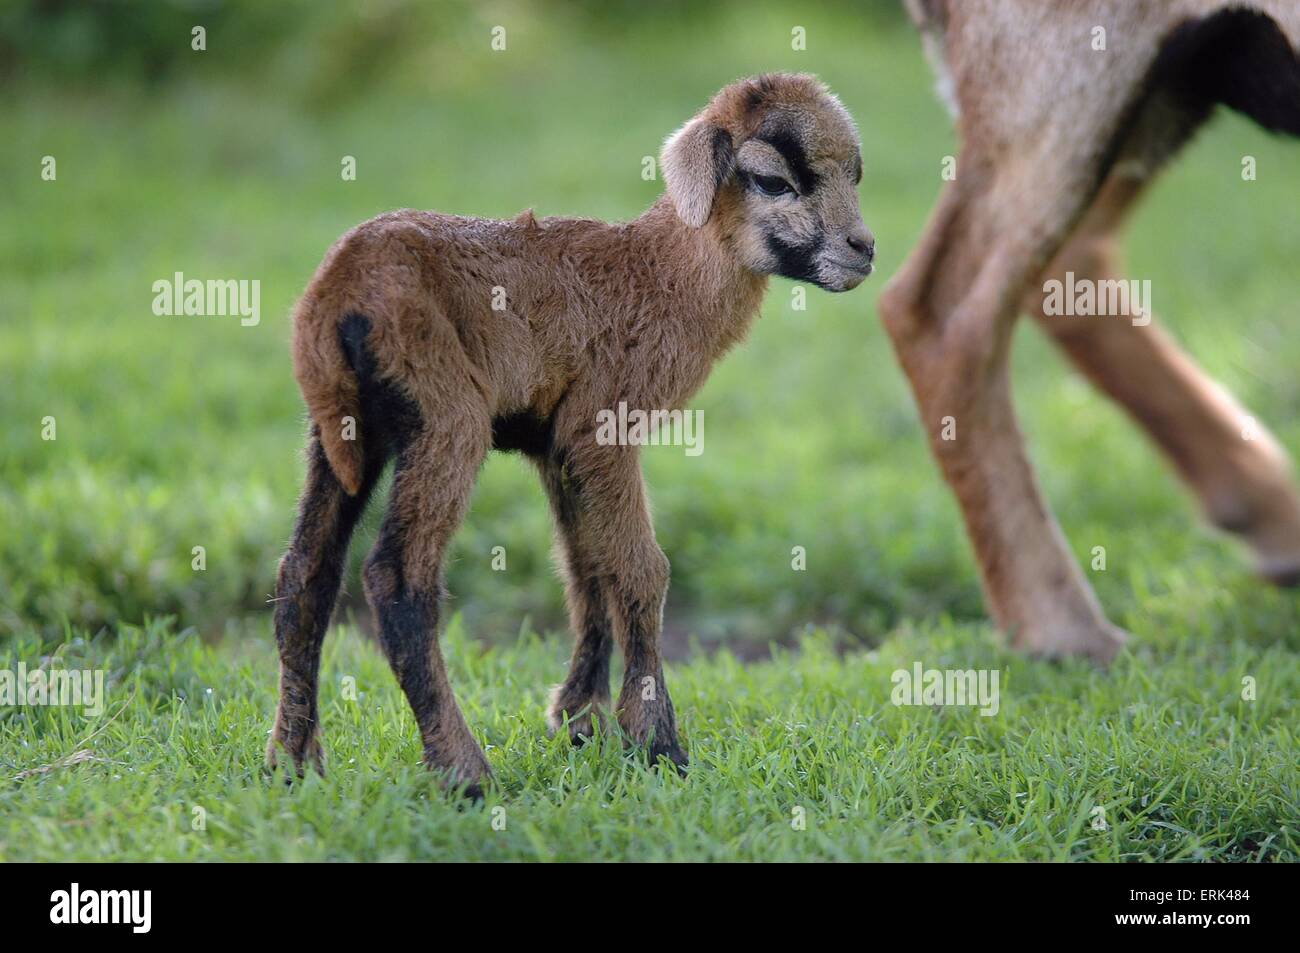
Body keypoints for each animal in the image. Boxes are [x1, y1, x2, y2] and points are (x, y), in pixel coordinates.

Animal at [268, 73, 874, 795]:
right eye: (772, 181)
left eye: (855, 174)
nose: (864, 250)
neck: (662, 272)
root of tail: (339, 292)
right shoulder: (604, 429)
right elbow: (641, 571)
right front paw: (658, 743)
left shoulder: (559, 447)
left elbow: (587, 570)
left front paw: (580, 720)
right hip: (446, 419)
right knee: (395, 578)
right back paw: (465, 773)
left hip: (338, 433)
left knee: (304, 576)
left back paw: (291, 763)